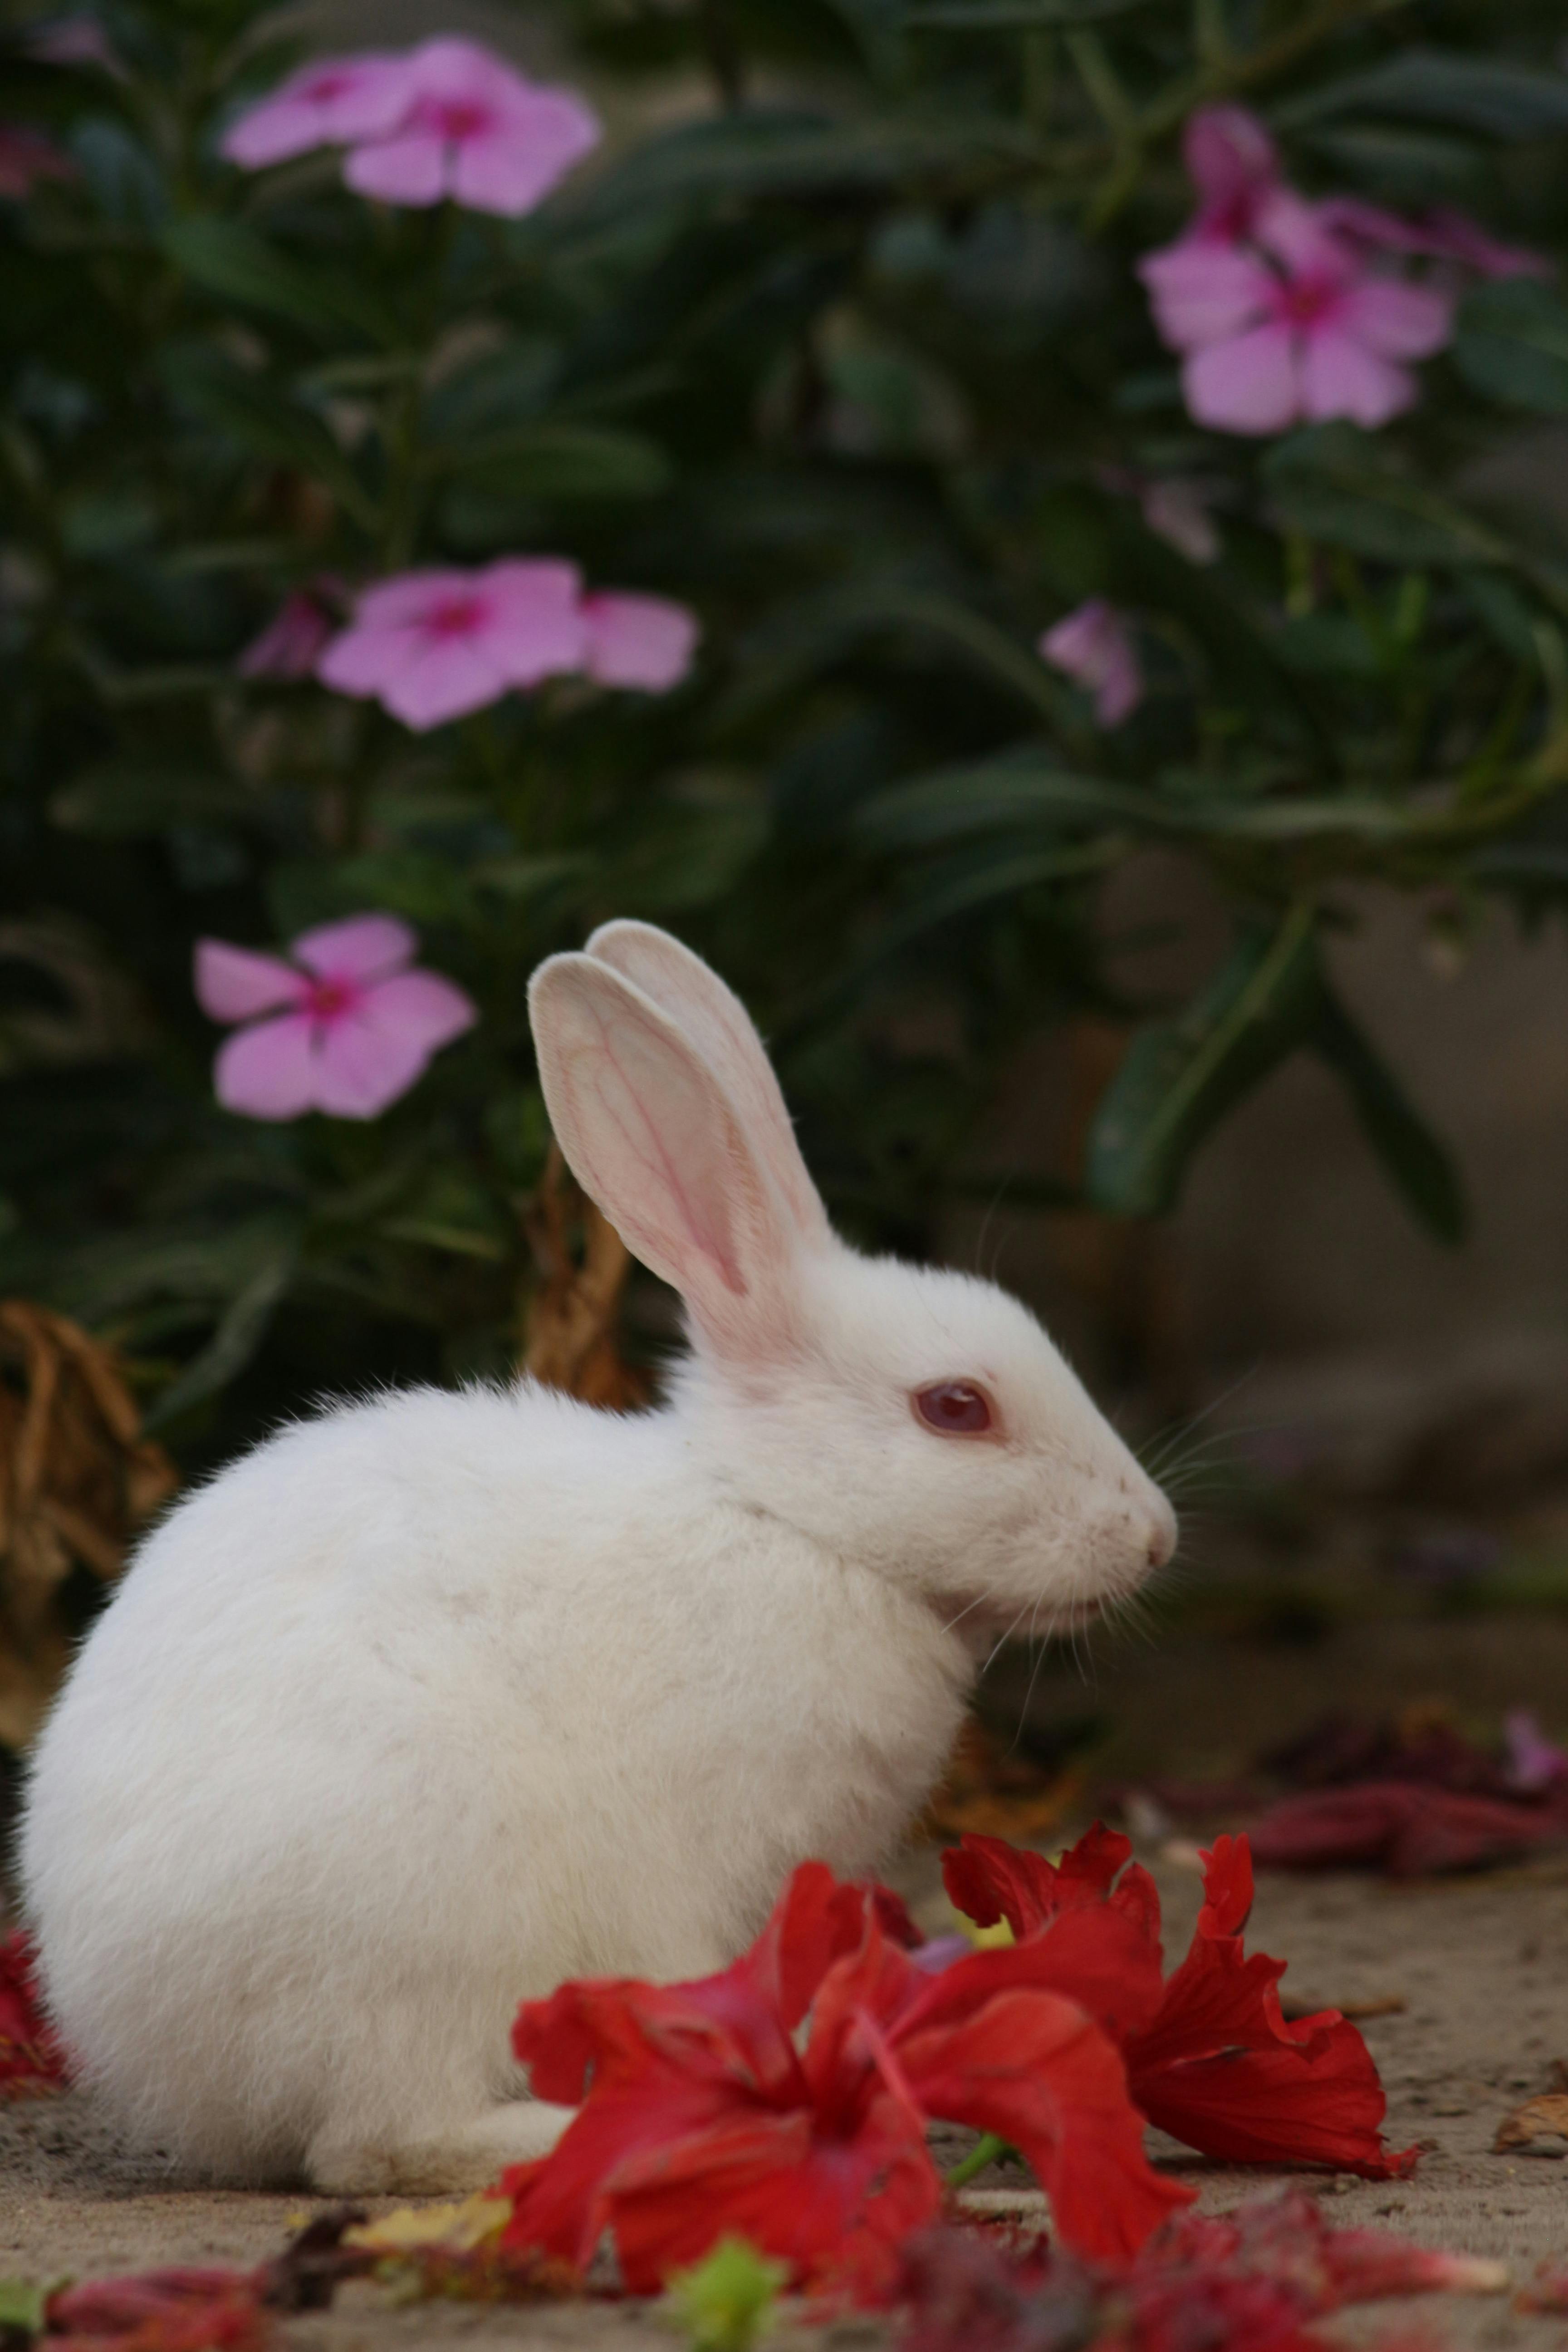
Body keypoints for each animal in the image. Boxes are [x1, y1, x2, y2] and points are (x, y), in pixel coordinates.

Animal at [19, 919, 1176, 2197]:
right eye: (956, 1408)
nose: (1155, 1535)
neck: (785, 1521)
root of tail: (153, 2058)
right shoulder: (689, 1870)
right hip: (423, 1912)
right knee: (374, 2142)